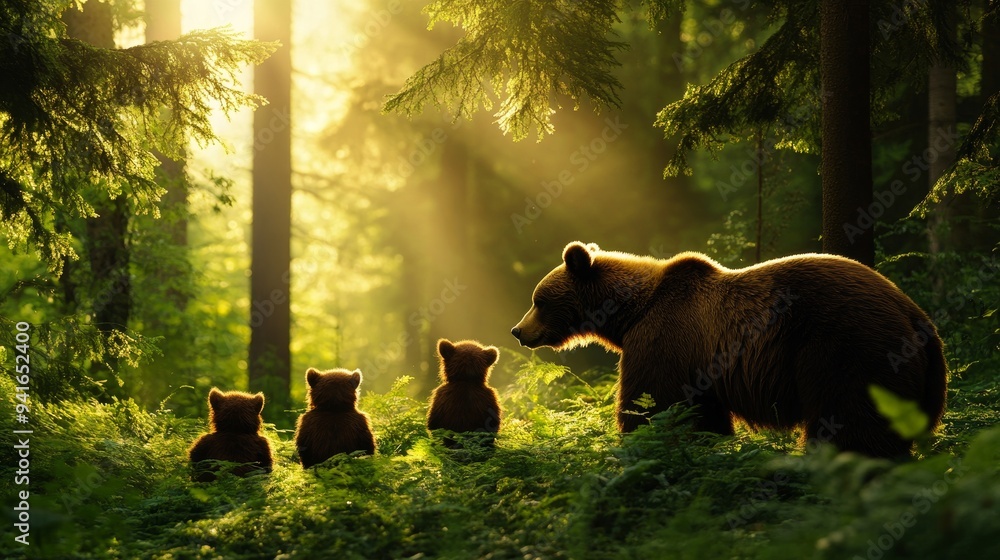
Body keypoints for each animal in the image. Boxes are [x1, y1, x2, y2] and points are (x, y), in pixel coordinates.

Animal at [511, 241, 948, 458]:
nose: (517, 330)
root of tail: (918, 317)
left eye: (538, 300)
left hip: (849, 348)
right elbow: (703, 418)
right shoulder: (698, 368)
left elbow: (650, 405)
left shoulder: (664, 338)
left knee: (851, 421)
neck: (631, 312)